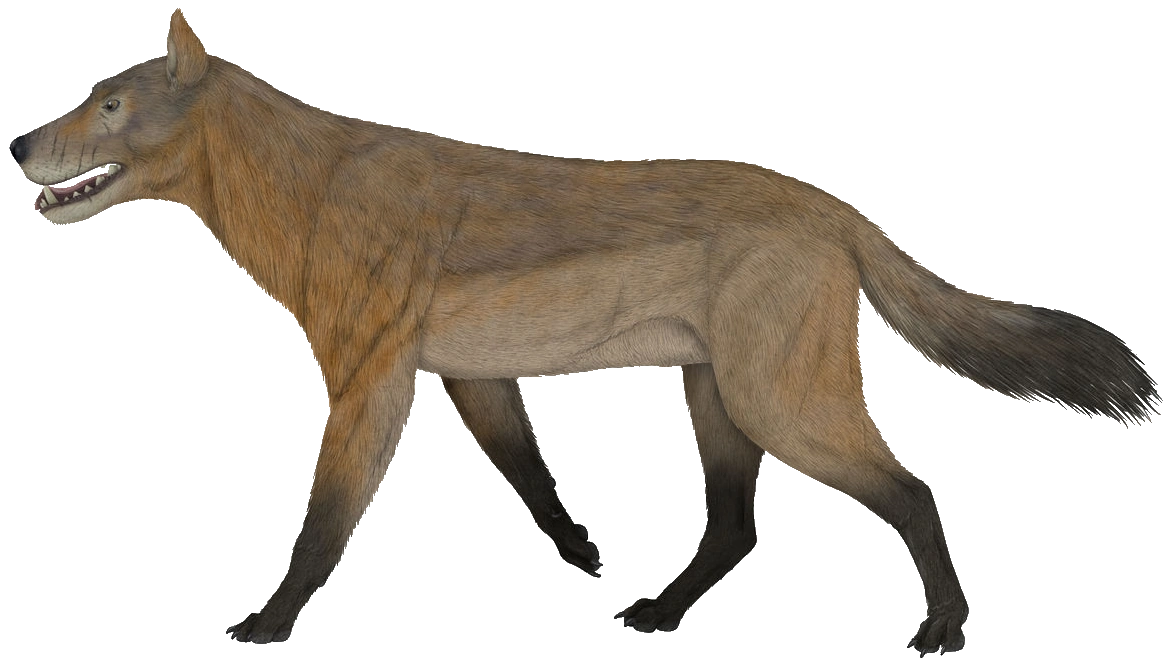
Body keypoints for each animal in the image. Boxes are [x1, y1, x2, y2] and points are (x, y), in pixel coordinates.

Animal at [11, 9, 1158, 651]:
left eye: (108, 105)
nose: (21, 139)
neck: (305, 191)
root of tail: (833, 205)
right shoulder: (468, 380)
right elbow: (531, 476)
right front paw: (583, 554)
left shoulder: (370, 383)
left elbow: (322, 524)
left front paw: (267, 624)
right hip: (717, 398)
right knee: (737, 527)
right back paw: (651, 613)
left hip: (778, 405)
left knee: (912, 492)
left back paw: (943, 631)